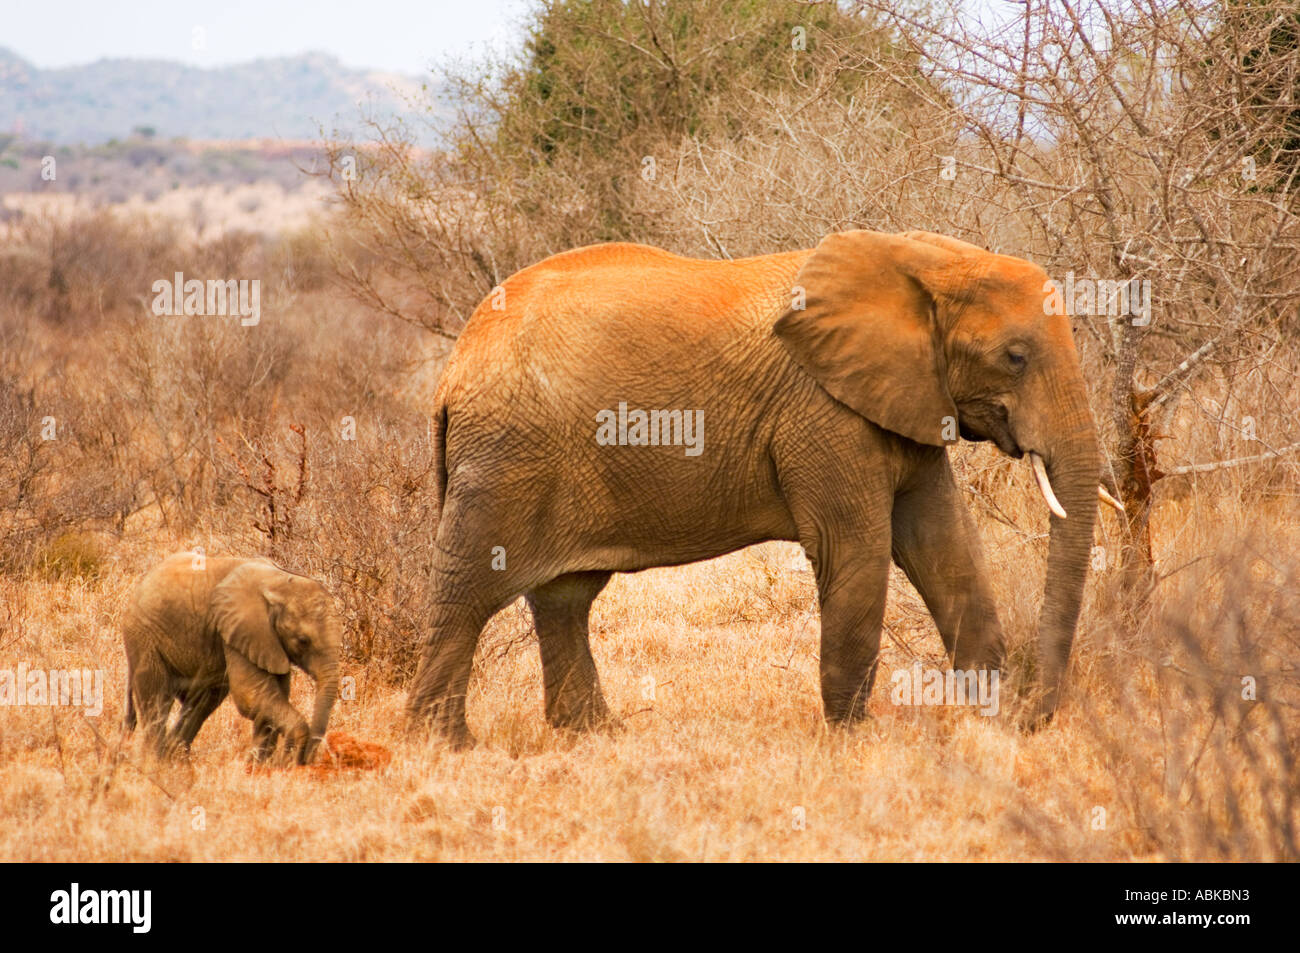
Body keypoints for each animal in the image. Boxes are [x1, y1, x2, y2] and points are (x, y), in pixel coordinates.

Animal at [122, 553, 341, 764]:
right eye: (303, 641)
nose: (302, 761)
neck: (278, 582)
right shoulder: (241, 630)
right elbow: (251, 695)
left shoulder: (269, 643)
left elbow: (272, 694)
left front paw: (259, 766)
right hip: (143, 637)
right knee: (156, 698)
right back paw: (157, 761)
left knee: (203, 701)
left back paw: (175, 758)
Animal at [408, 229, 1121, 747]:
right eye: (1016, 358)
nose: (1033, 718)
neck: (923, 257)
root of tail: (454, 367)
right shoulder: (823, 412)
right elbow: (856, 551)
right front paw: (854, 740)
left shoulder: (907, 396)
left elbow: (944, 546)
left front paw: (979, 721)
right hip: (505, 456)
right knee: (467, 592)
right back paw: (444, 746)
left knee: (564, 599)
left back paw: (591, 735)